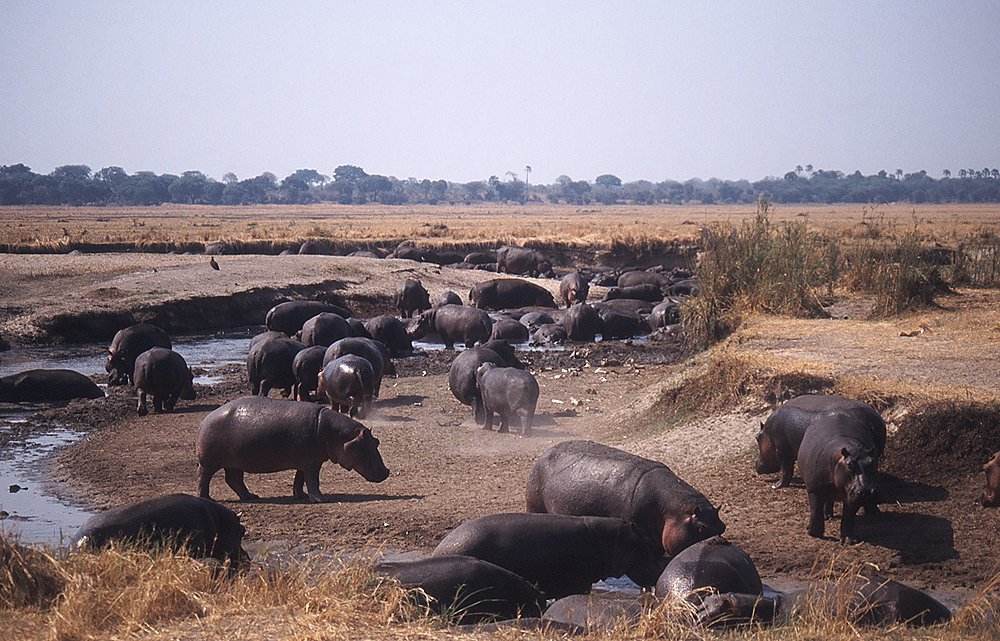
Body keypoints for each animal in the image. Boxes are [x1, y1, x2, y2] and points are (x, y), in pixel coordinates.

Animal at [196, 396, 389, 502]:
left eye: (377, 441)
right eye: (369, 445)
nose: (387, 471)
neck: (338, 434)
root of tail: (206, 419)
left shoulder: (306, 461)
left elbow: (299, 479)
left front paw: (300, 496)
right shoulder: (312, 463)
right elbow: (313, 481)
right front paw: (321, 499)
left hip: (235, 463)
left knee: (234, 480)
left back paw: (251, 496)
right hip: (209, 462)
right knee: (203, 477)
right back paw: (207, 498)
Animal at [526, 440, 725, 559]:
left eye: (723, 526)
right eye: (701, 528)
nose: (718, 545)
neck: (672, 510)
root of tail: (546, 451)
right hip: (534, 505)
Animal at [756, 395, 887, 490]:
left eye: (757, 437)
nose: (756, 464)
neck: (768, 430)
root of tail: (872, 420)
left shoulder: (782, 450)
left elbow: (785, 469)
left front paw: (777, 486)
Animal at [799, 412, 881, 543]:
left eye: (872, 462)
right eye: (849, 464)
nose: (868, 492)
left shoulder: (852, 496)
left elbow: (848, 517)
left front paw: (848, 540)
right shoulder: (814, 490)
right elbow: (816, 511)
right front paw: (813, 533)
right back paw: (826, 517)